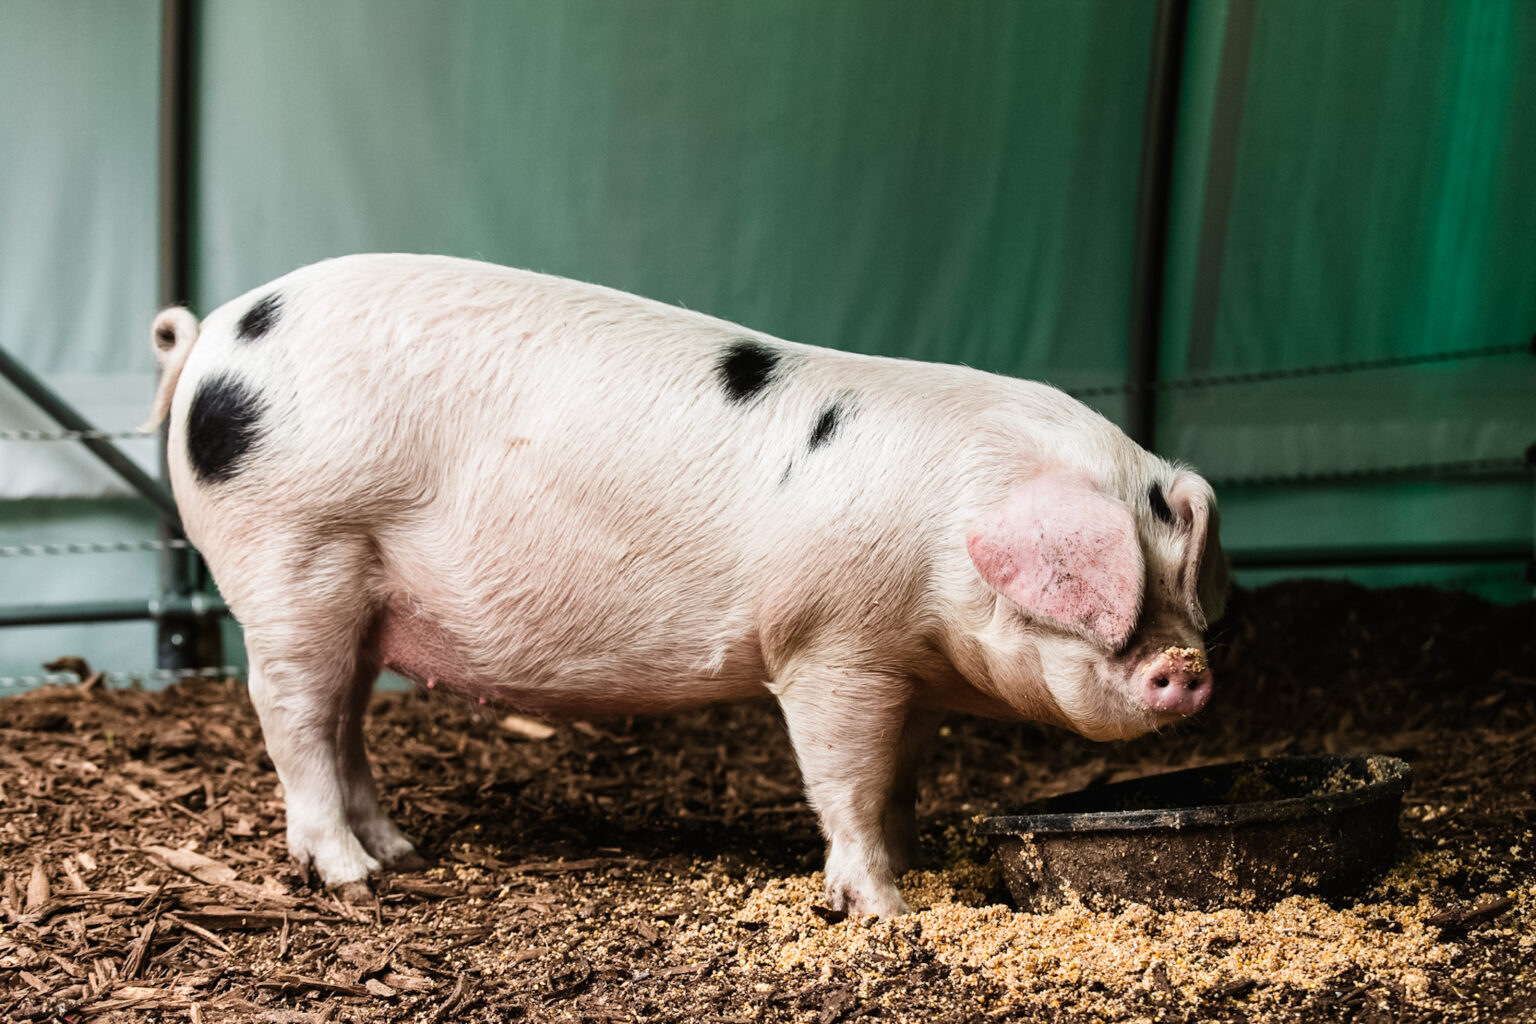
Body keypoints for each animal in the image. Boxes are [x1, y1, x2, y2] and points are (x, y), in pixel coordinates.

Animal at [146, 253, 1227, 919]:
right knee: (290, 710)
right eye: (1112, 588)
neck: (948, 528)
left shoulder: (907, 672)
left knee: (345, 721)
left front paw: (918, 865)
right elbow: (846, 780)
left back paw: (400, 849)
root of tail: (211, 339)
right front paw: (886, 908)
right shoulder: (829, 648)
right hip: (294, 551)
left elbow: (899, 780)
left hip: (361, 598)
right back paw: (351, 874)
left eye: (1181, 578)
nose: (1188, 665)